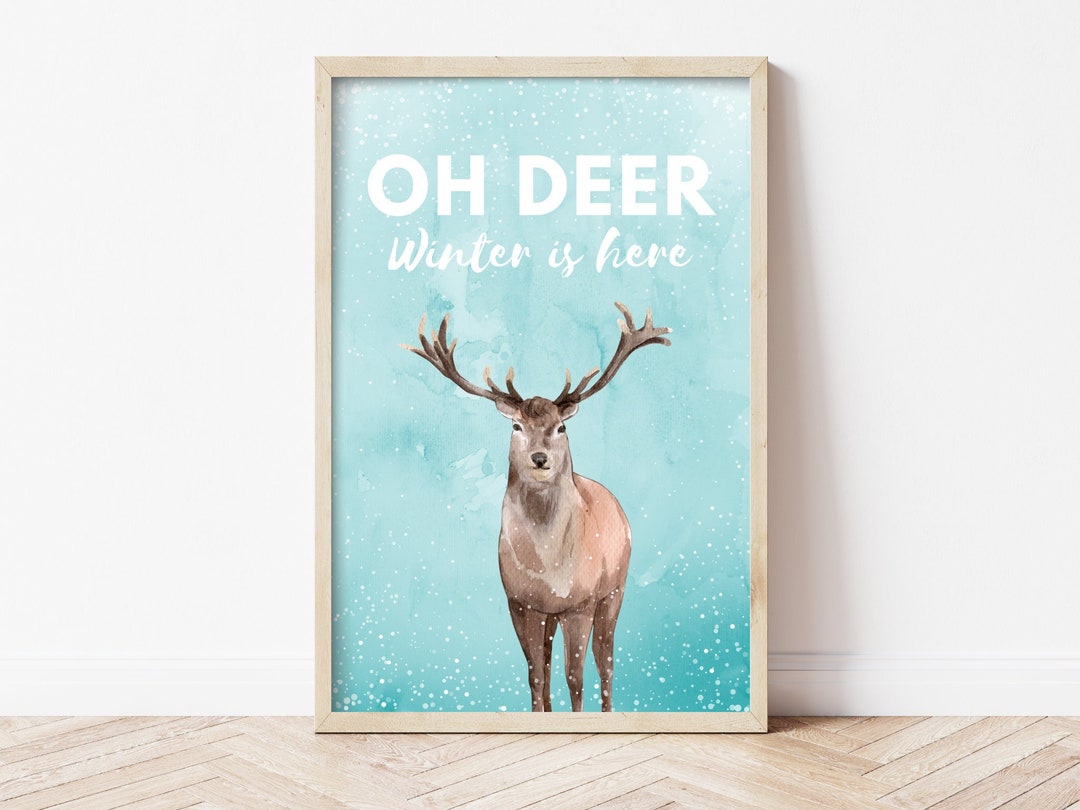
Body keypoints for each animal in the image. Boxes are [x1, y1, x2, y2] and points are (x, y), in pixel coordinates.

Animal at [402, 303, 671, 712]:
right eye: (516, 426)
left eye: (561, 428)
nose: (540, 458)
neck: (550, 568)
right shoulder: (520, 601)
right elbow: (536, 675)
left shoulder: (580, 602)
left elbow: (575, 677)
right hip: (552, 614)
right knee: (548, 661)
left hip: (615, 590)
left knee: (606, 660)